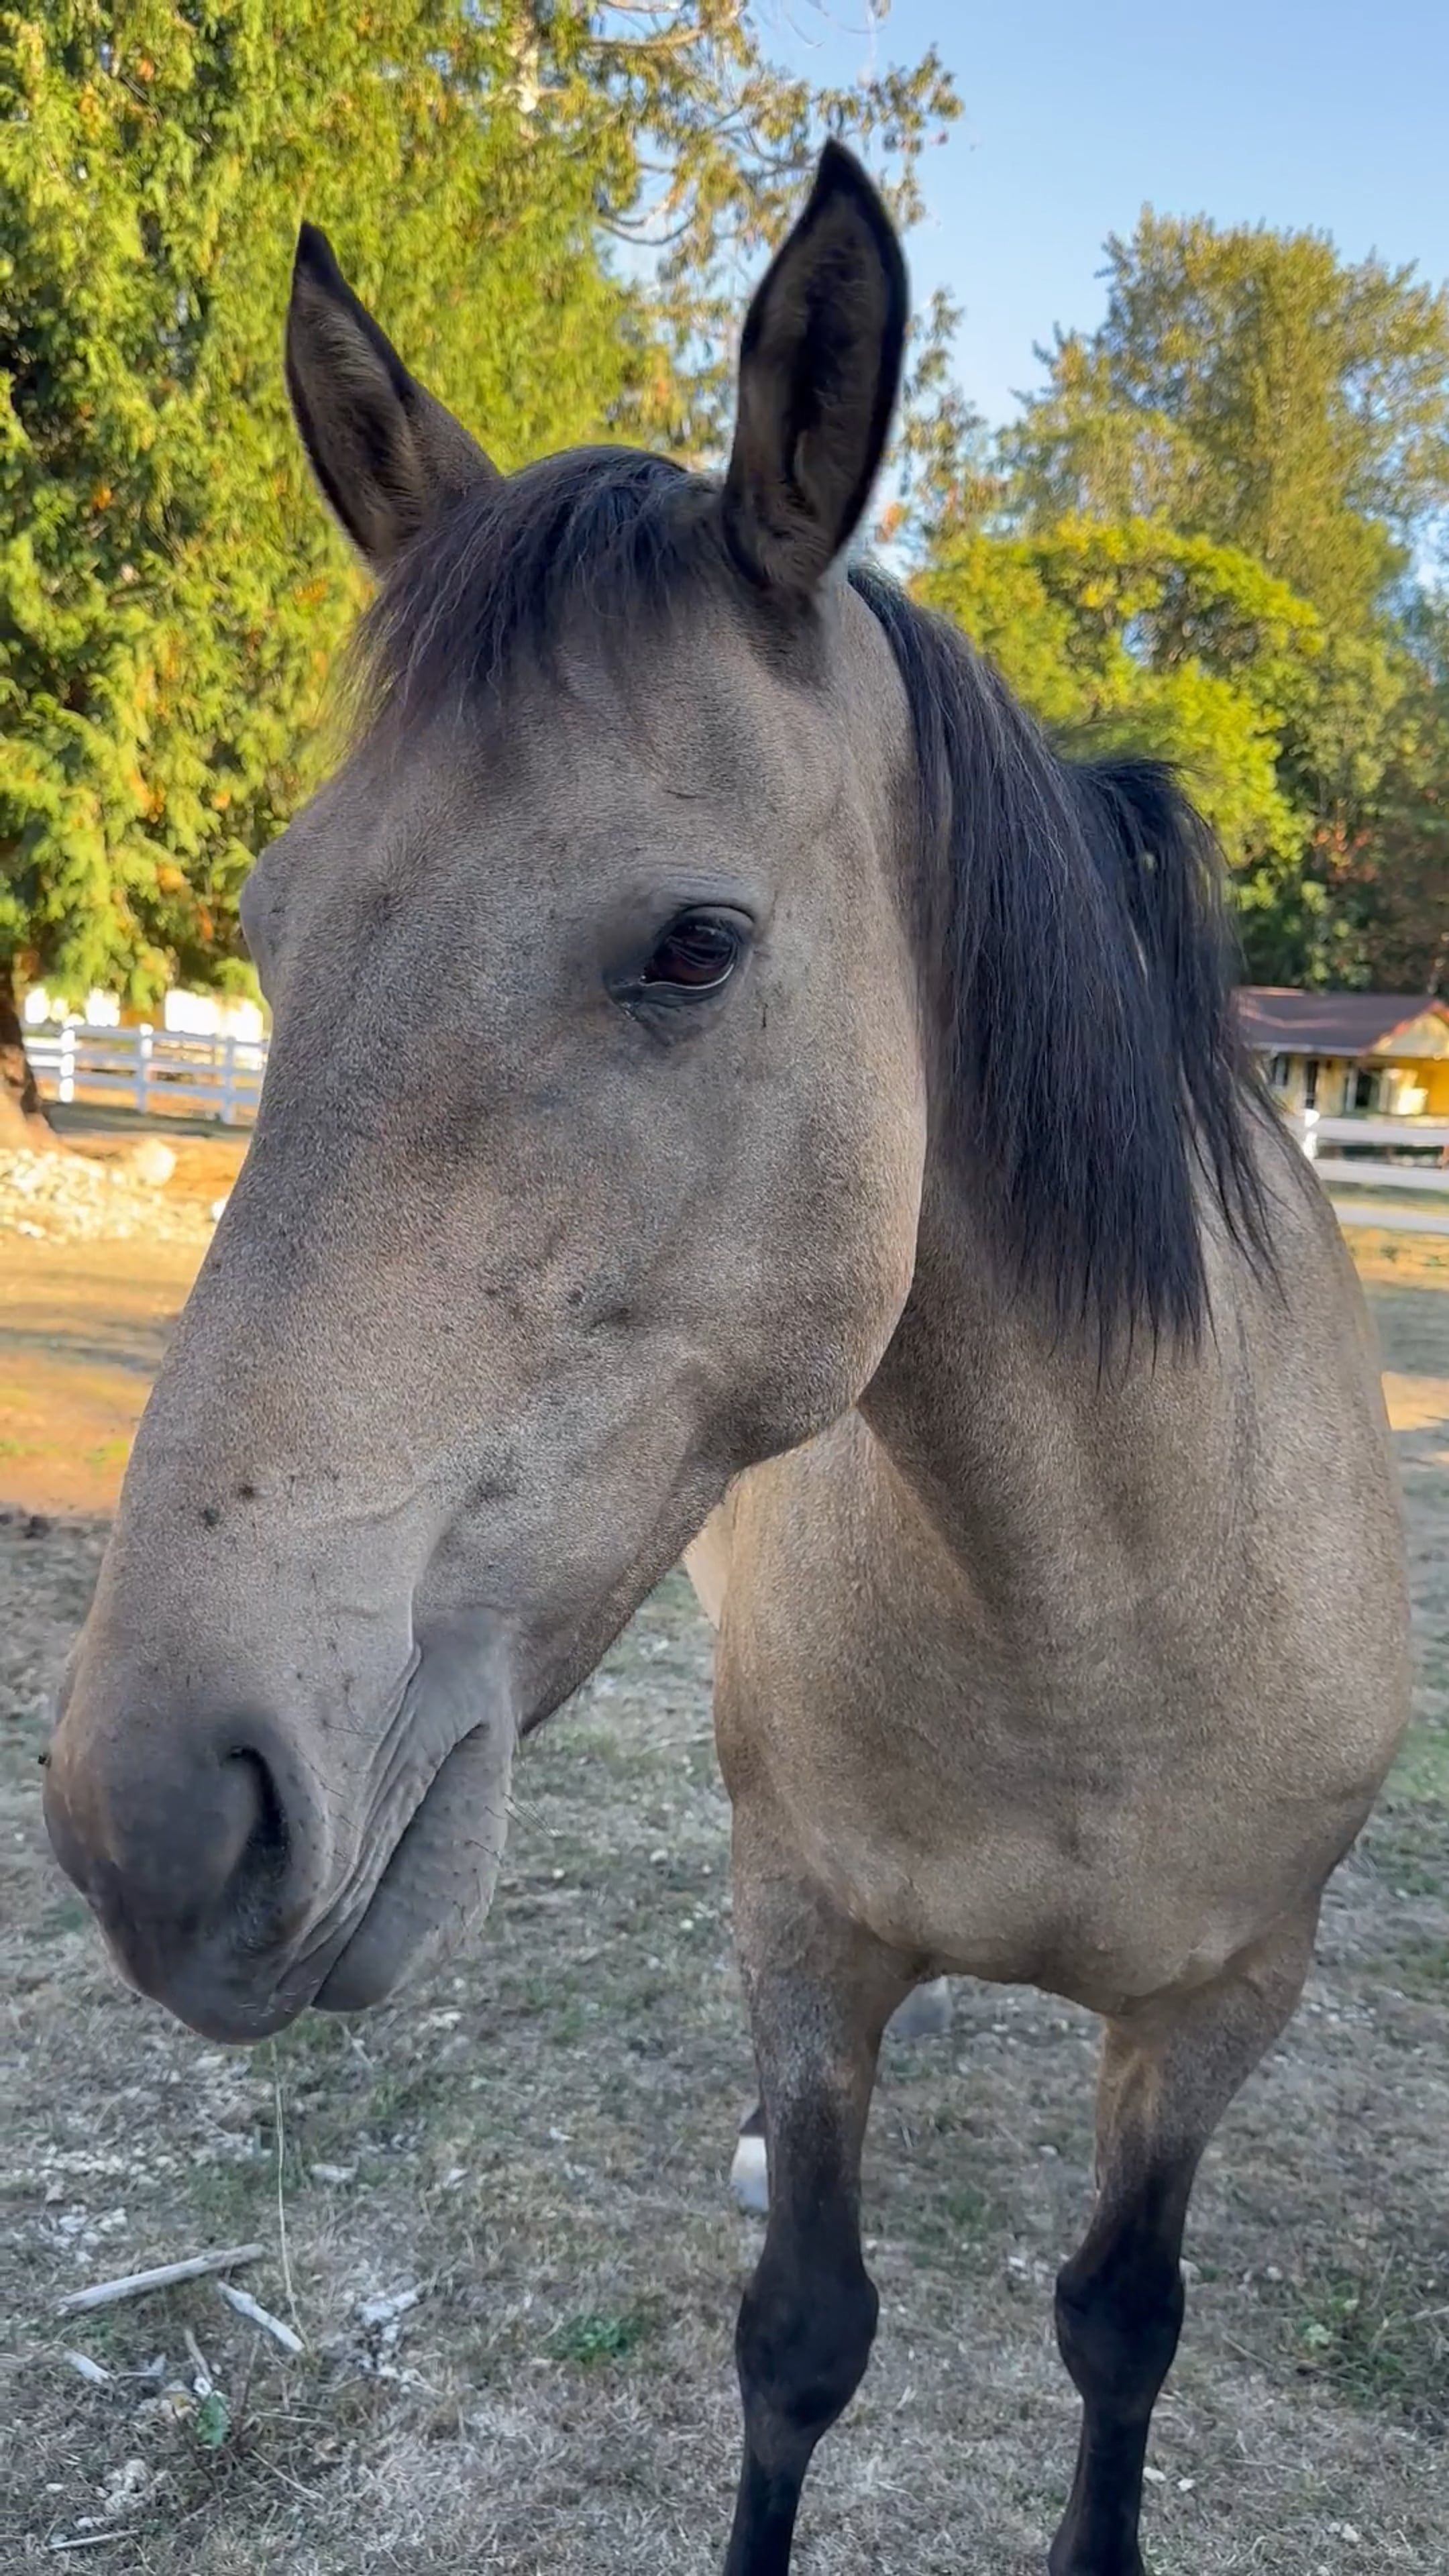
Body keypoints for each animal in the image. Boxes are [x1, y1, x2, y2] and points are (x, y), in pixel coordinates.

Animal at [44, 145, 1409, 2575]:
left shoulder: (1226, 2005)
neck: (1111, 1598)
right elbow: (799, 2337)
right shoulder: (807, 1936)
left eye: (694, 946)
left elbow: (1122, 2331)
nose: (159, 1819)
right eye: (274, 928)